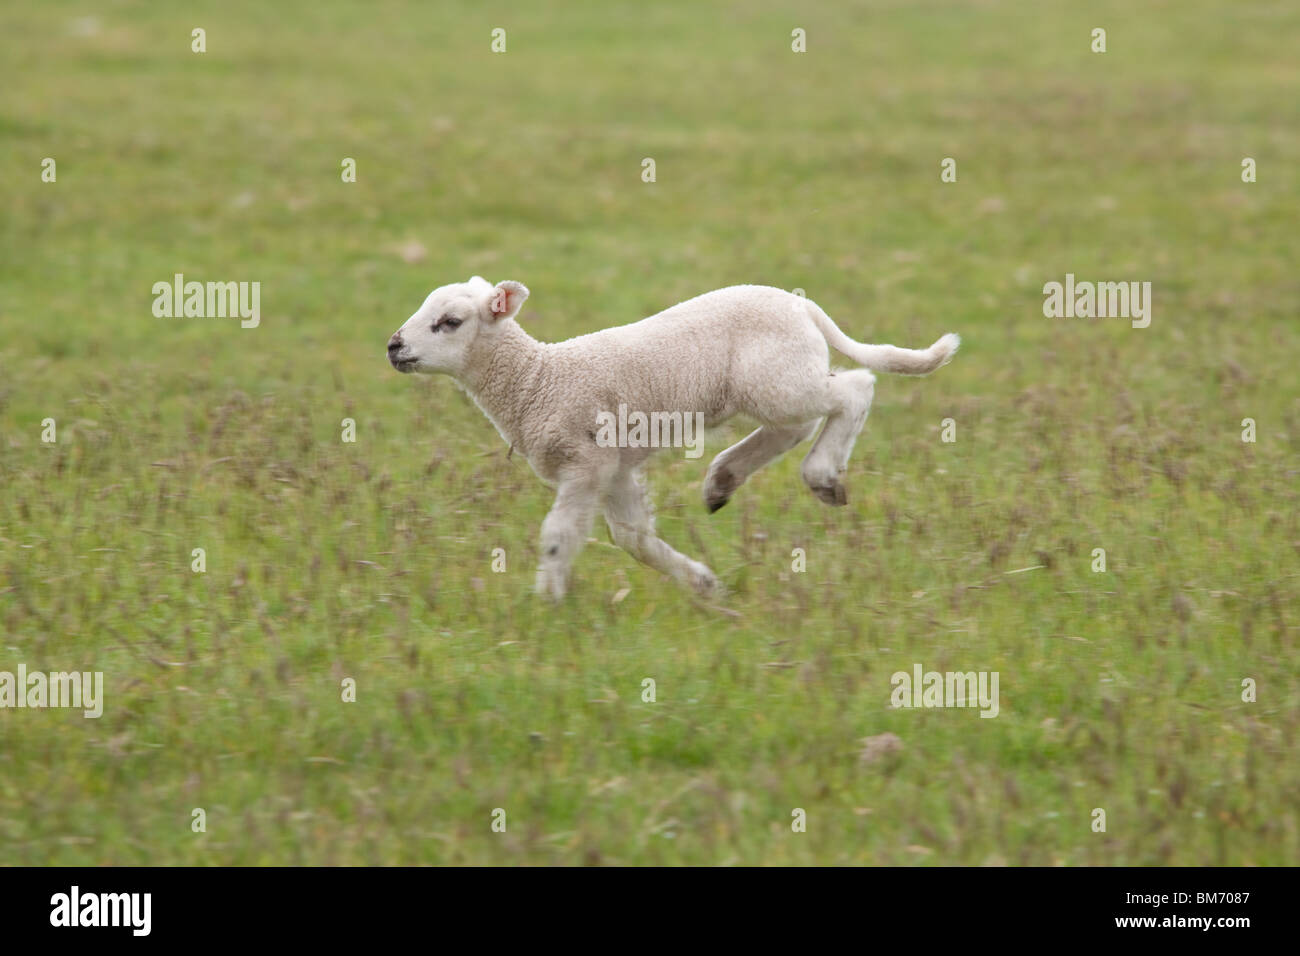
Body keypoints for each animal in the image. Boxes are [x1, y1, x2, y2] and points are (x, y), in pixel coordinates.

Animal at [387, 277, 959, 599]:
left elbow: (558, 535)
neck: (537, 379)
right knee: (795, 424)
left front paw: (545, 603)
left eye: (449, 322)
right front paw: (704, 585)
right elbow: (632, 538)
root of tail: (803, 308)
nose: (394, 346)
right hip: (776, 382)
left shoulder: (586, 461)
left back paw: (822, 478)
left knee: (854, 390)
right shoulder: (613, 466)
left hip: (778, 380)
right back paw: (722, 481)